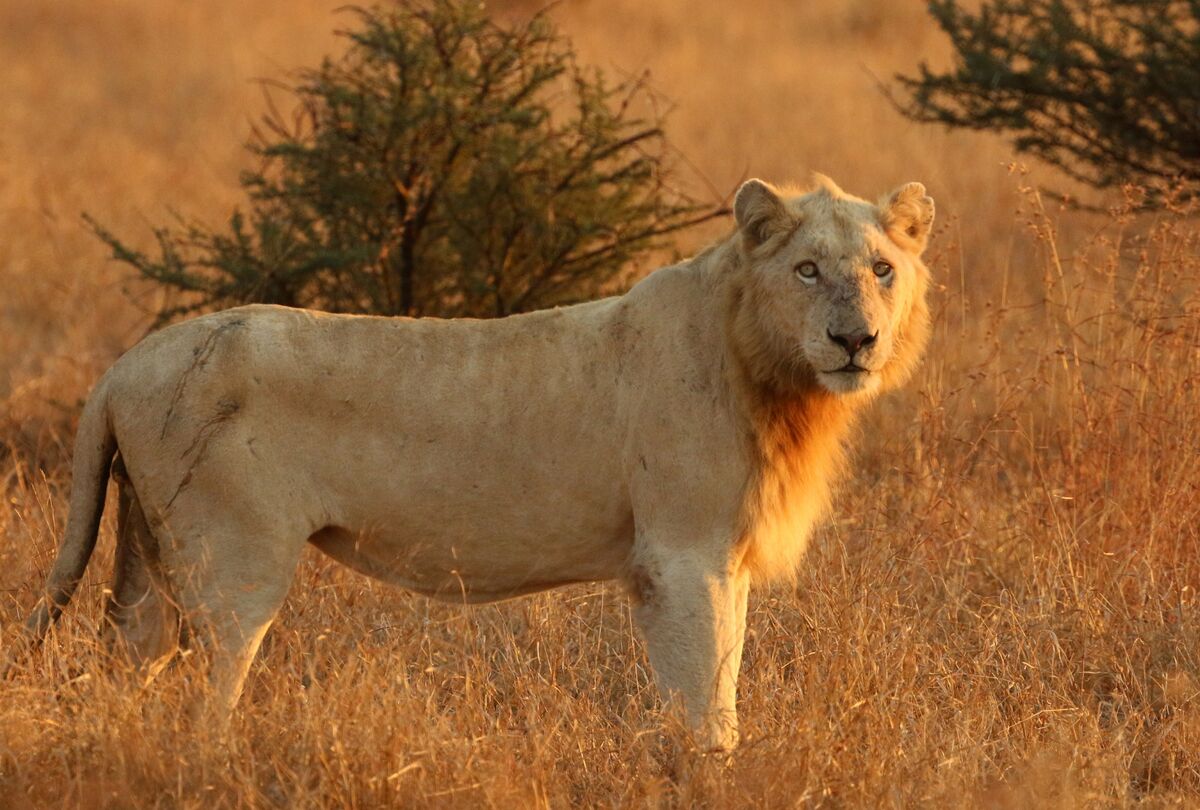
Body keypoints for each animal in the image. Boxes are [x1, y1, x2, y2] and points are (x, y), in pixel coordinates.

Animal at [25, 175, 933, 751]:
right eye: (807, 270)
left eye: (882, 270)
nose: (855, 340)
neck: (773, 375)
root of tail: (124, 366)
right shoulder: (682, 556)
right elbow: (707, 705)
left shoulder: (714, 563)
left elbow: (718, 684)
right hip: (232, 566)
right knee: (205, 698)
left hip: (148, 556)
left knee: (129, 667)